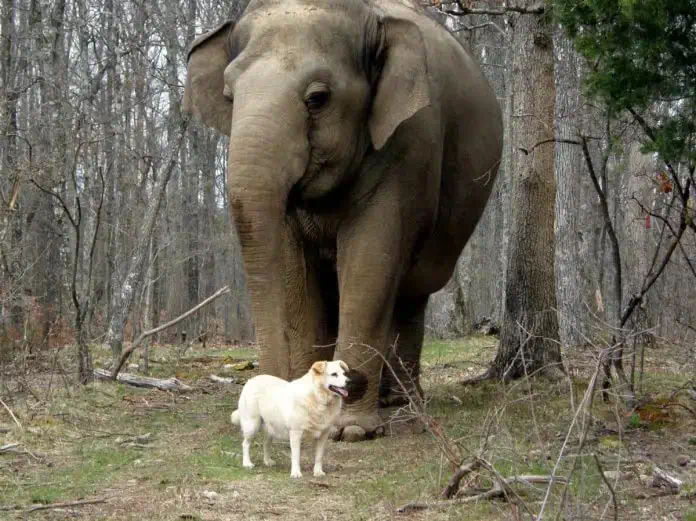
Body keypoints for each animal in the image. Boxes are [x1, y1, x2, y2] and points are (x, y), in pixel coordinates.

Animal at [183, 0, 503, 442]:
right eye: (229, 96)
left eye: (318, 98)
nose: (255, 410)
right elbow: (293, 270)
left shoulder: (409, 142)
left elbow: (370, 260)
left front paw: (351, 430)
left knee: (412, 292)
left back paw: (399, 402)